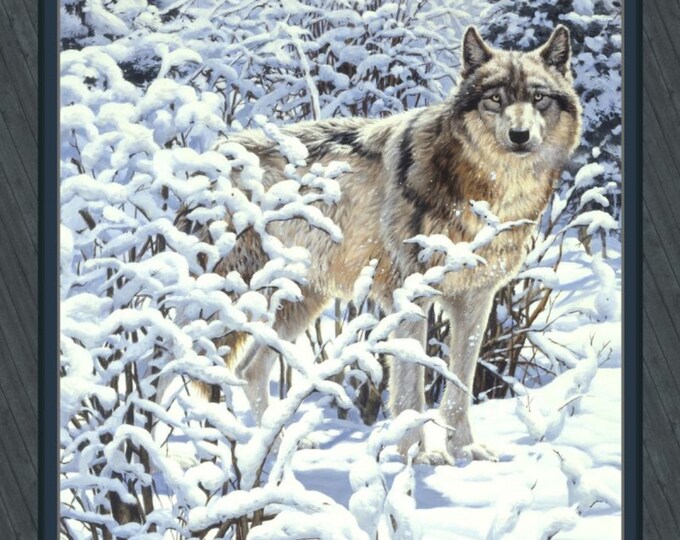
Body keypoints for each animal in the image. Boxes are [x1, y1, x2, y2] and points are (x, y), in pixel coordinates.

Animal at [188, 25, 581, 464]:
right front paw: (415, 456)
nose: (519, 135)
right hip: (230, 300)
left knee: (249, 370)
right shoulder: (410, 297)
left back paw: (272, 449)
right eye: (495, 99)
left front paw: (464, 449)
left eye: (538, 98)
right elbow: (410, 382)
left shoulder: (476, 301)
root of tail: (217, 154)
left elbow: (460, 382)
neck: (488, 190)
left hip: (298, 305)